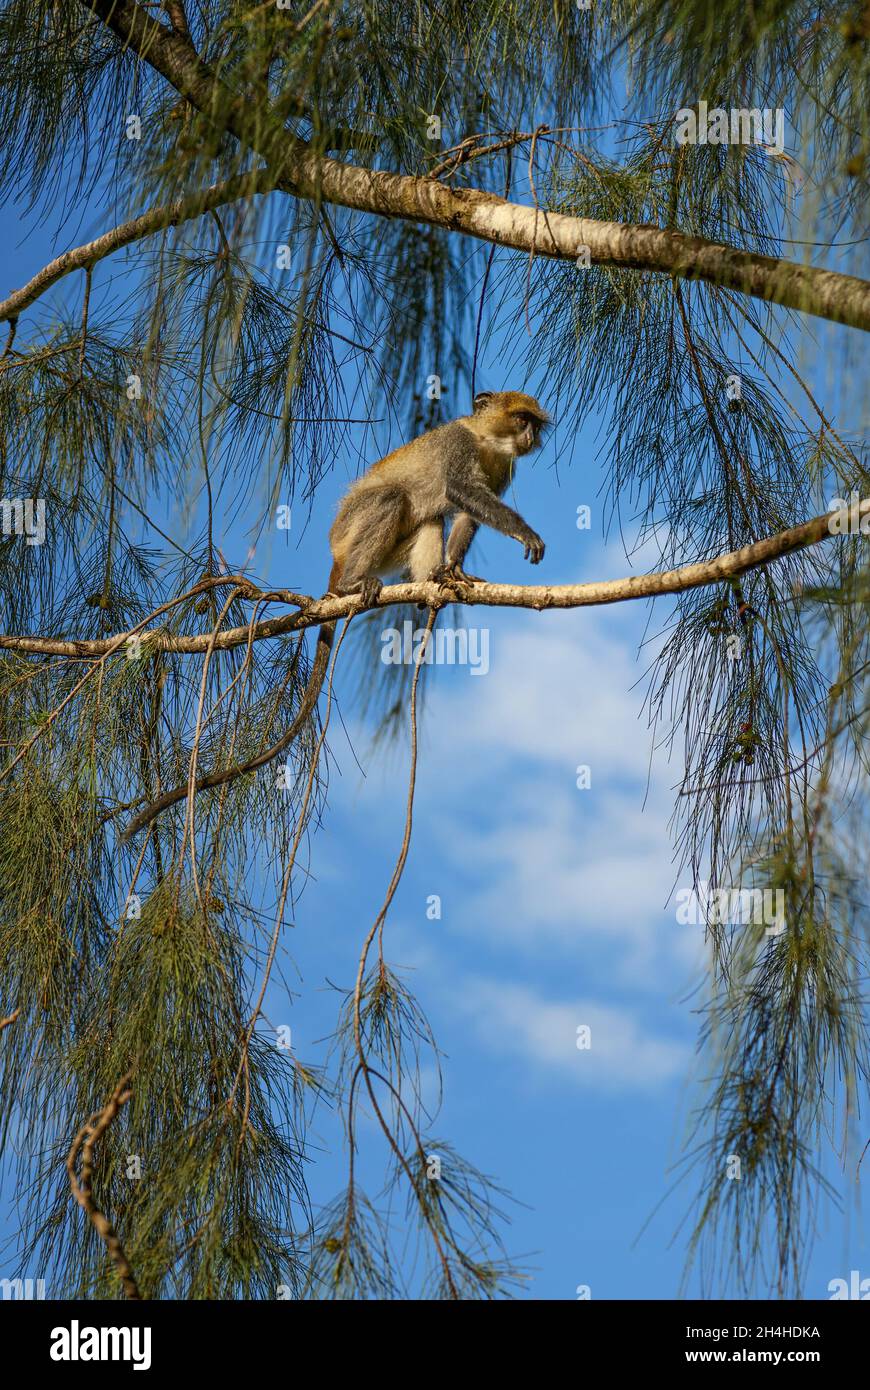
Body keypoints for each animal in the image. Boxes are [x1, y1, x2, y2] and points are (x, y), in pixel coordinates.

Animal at [121, 391, 548, 841]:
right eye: (521, 418)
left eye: (534, 423)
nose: (530, 435)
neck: (487, 441)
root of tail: (338, 553)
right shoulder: (458, 446)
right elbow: (460, 489)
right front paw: (523, 532)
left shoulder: (503, 467)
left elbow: (466, 514)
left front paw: (455, 571)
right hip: (352, 527)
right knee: (393, 498)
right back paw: (354, 585)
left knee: (431, 516)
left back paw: (433, 581)